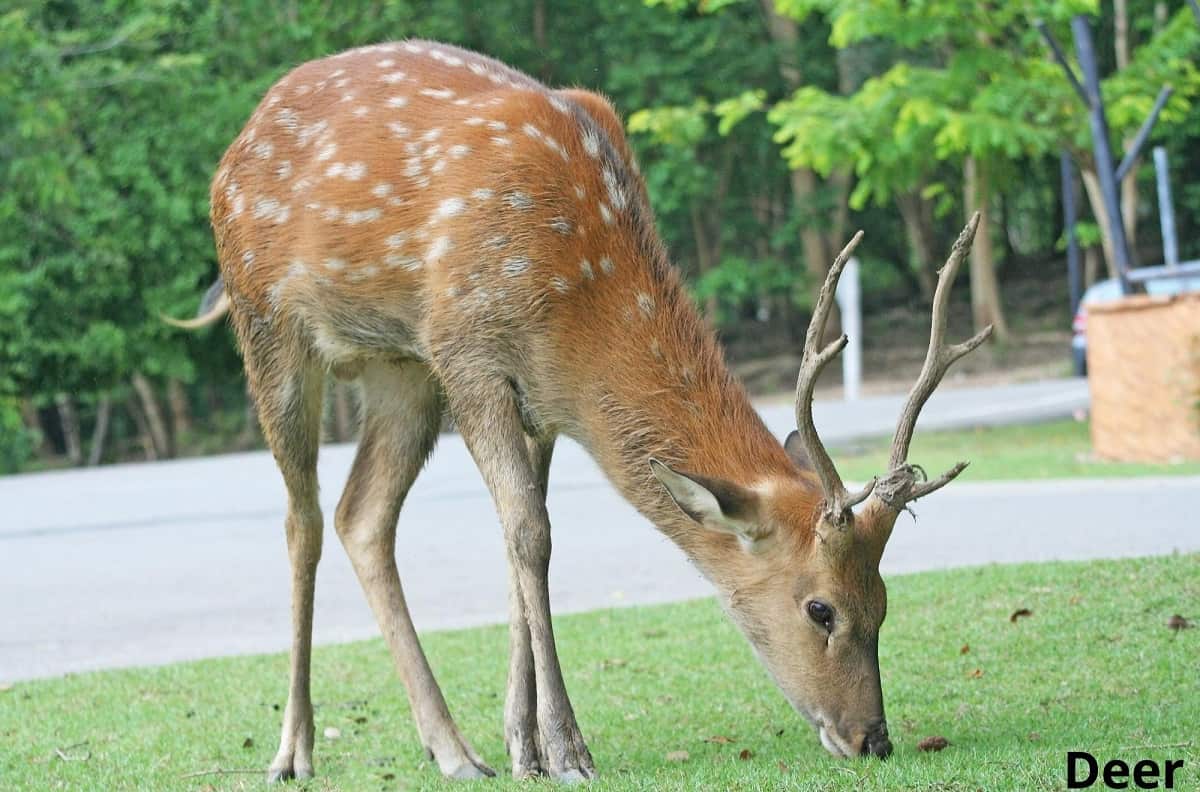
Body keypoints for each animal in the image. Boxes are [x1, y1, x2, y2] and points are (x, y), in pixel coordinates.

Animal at [171, 40, 990, 783]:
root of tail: (240, 139)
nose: (872, 738)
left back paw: (453, 749)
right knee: (303, 521)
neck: (577, 300)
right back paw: (293, 751)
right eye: (821, 609)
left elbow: (518, 544)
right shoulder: (467, 349)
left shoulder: (539, 400)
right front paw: (568, 750)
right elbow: (530, 534)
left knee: (361, 516)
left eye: (882, 601)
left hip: (399, 369)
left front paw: (522, 745)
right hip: (267, 321)